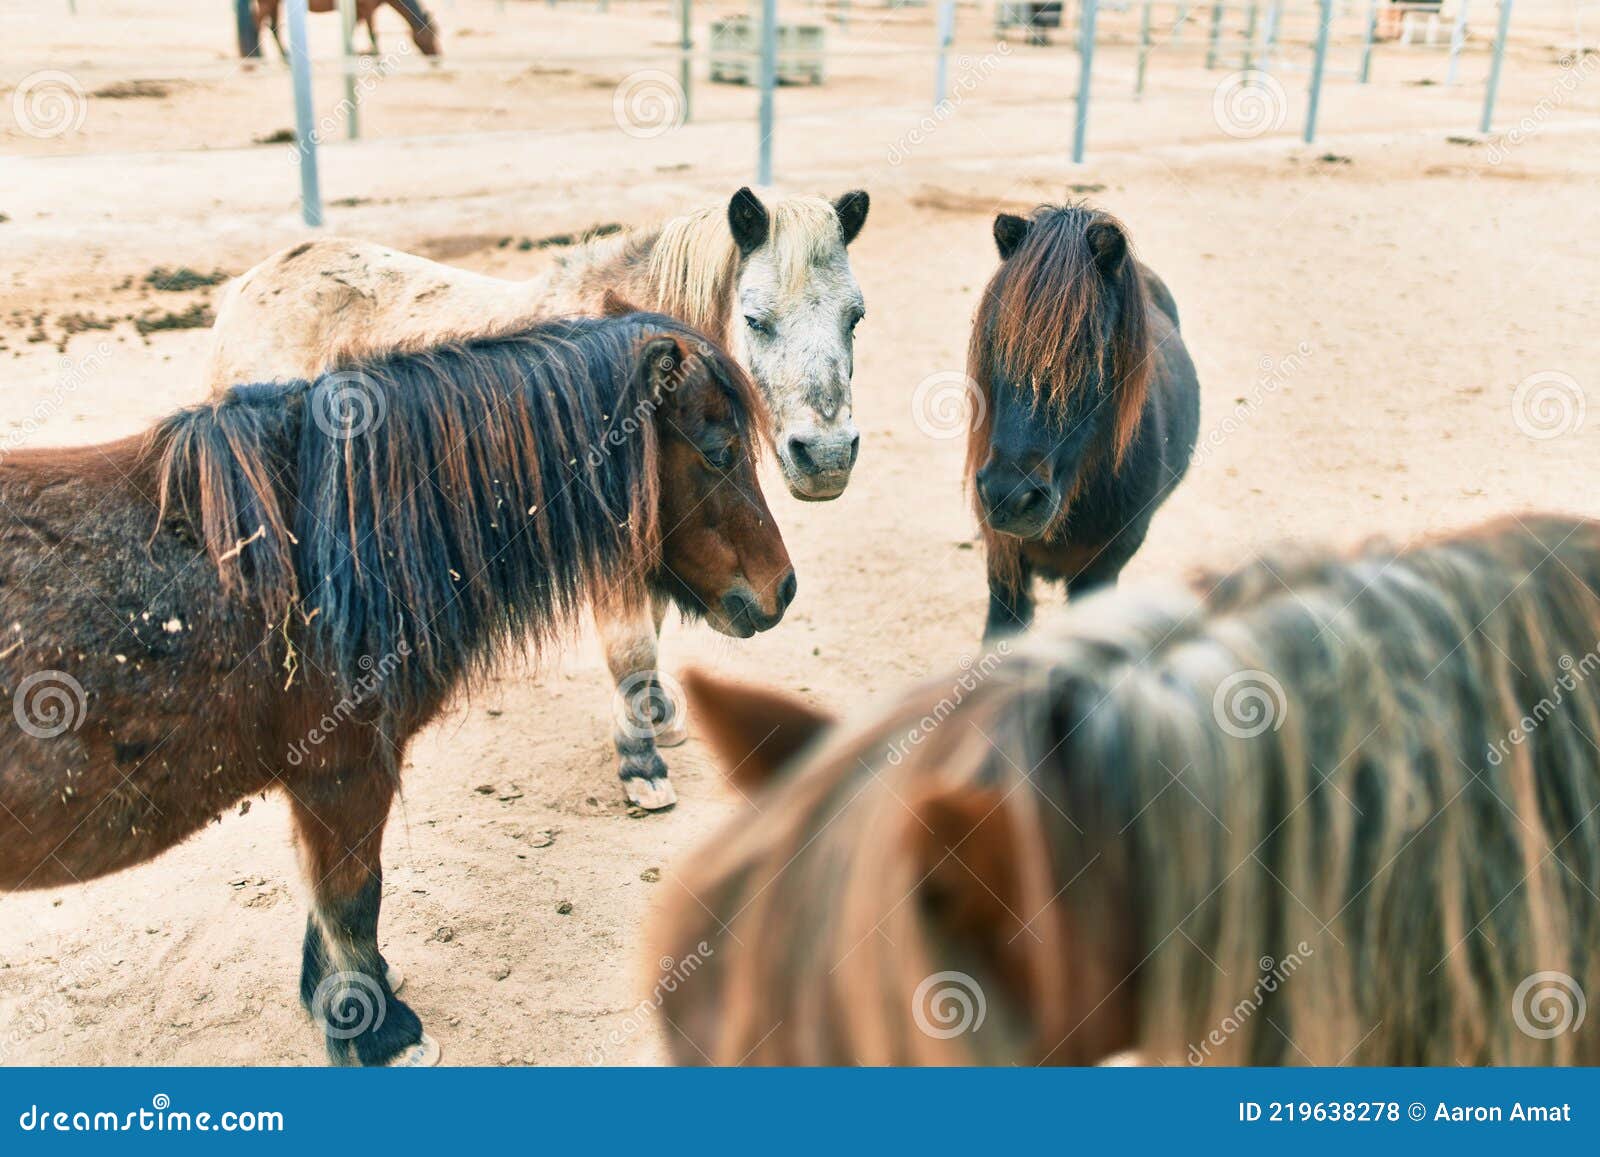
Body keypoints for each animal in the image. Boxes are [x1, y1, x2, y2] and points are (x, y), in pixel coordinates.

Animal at [0, 309, 792, 1066]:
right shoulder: (342, 771)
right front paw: (379, 1032)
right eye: (718, 451)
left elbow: (327, 899)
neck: (323, 555)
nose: (781, 589)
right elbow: (353, 897)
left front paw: (340, 998)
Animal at [207, 187, 869, 809]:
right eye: (756, 319)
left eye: (854, 318)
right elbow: (632, 647)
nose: (828, 456)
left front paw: (655, 719)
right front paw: (641, 765)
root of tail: (250, 285)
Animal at [253, 0, 441, 59]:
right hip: (268, 4)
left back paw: (285, 57)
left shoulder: (359, 11)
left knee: (272, 27)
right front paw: (377, 57)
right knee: (259, 24)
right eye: (430, 35)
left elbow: (354, 28)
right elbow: (373, 33)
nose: (438, 57)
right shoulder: (368, 8)